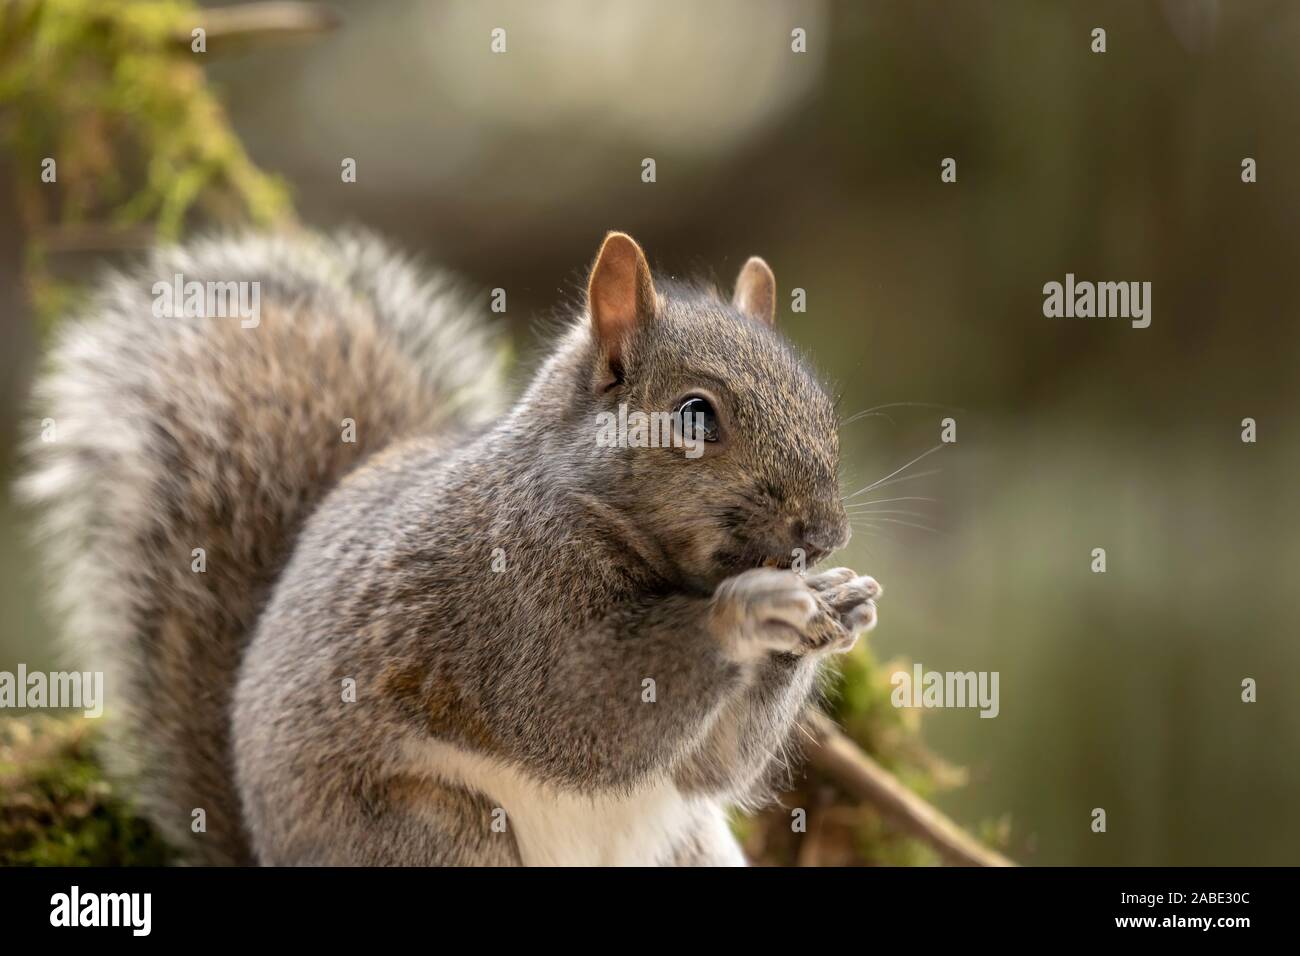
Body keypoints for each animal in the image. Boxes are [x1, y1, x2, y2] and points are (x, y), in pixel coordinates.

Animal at [21, 228, 882, 866]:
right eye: (696, 416)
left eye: (821, 403)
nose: (824, 533)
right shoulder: (507, 596)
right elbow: (582, 707)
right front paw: (750, 610)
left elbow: (713, 766)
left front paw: (836, 602)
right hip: (431, 833)